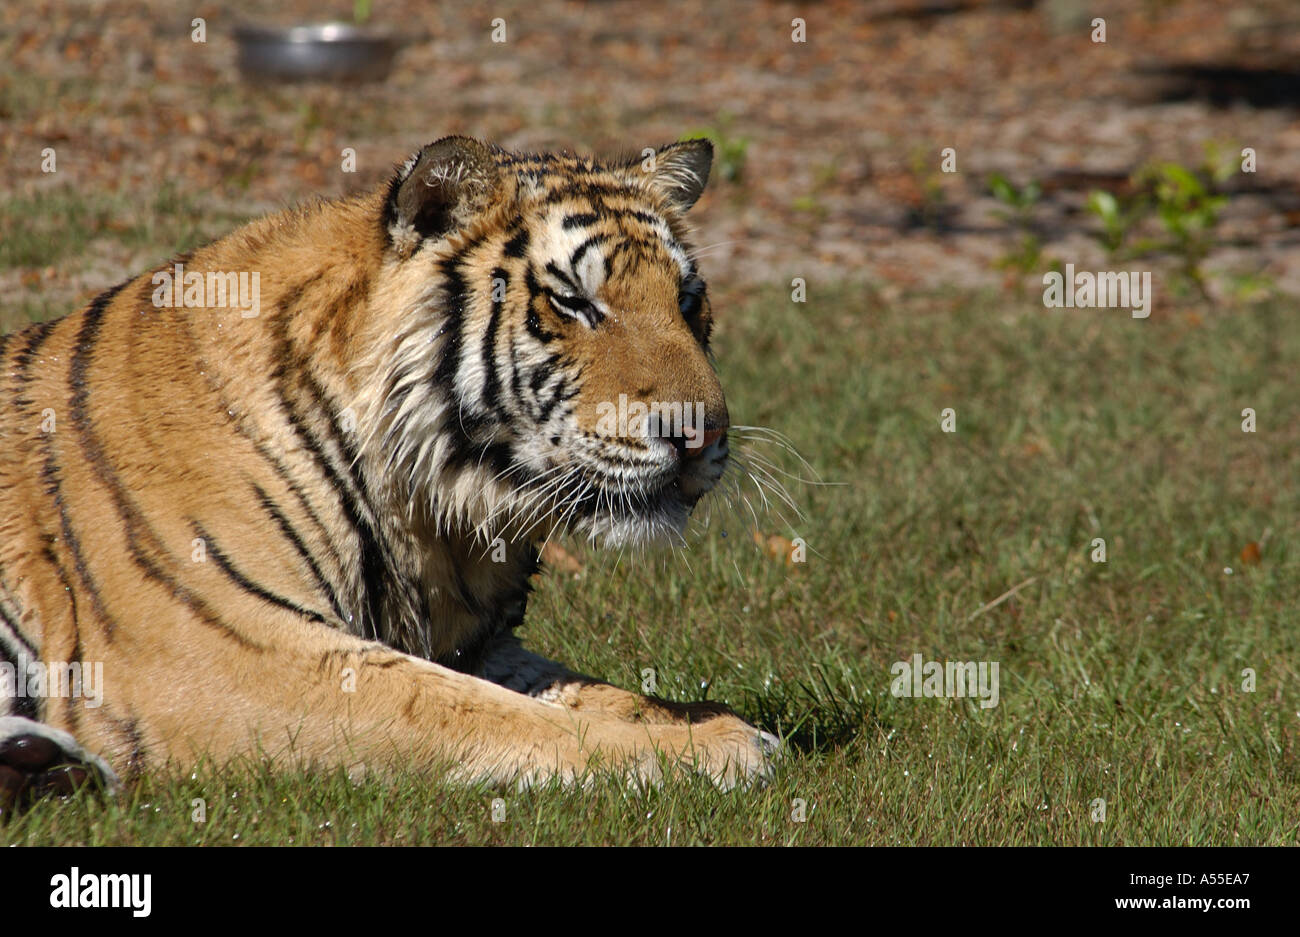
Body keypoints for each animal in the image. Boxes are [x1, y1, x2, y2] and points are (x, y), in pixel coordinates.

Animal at [0, 135, 780, 808]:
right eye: (574, 302)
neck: (434, 517)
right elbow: (467, 709)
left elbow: (592, 690)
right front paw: (722, 749)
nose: (702, 434)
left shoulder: (479, 645)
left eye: (687, 300)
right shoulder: (213, 651)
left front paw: (715, 720)